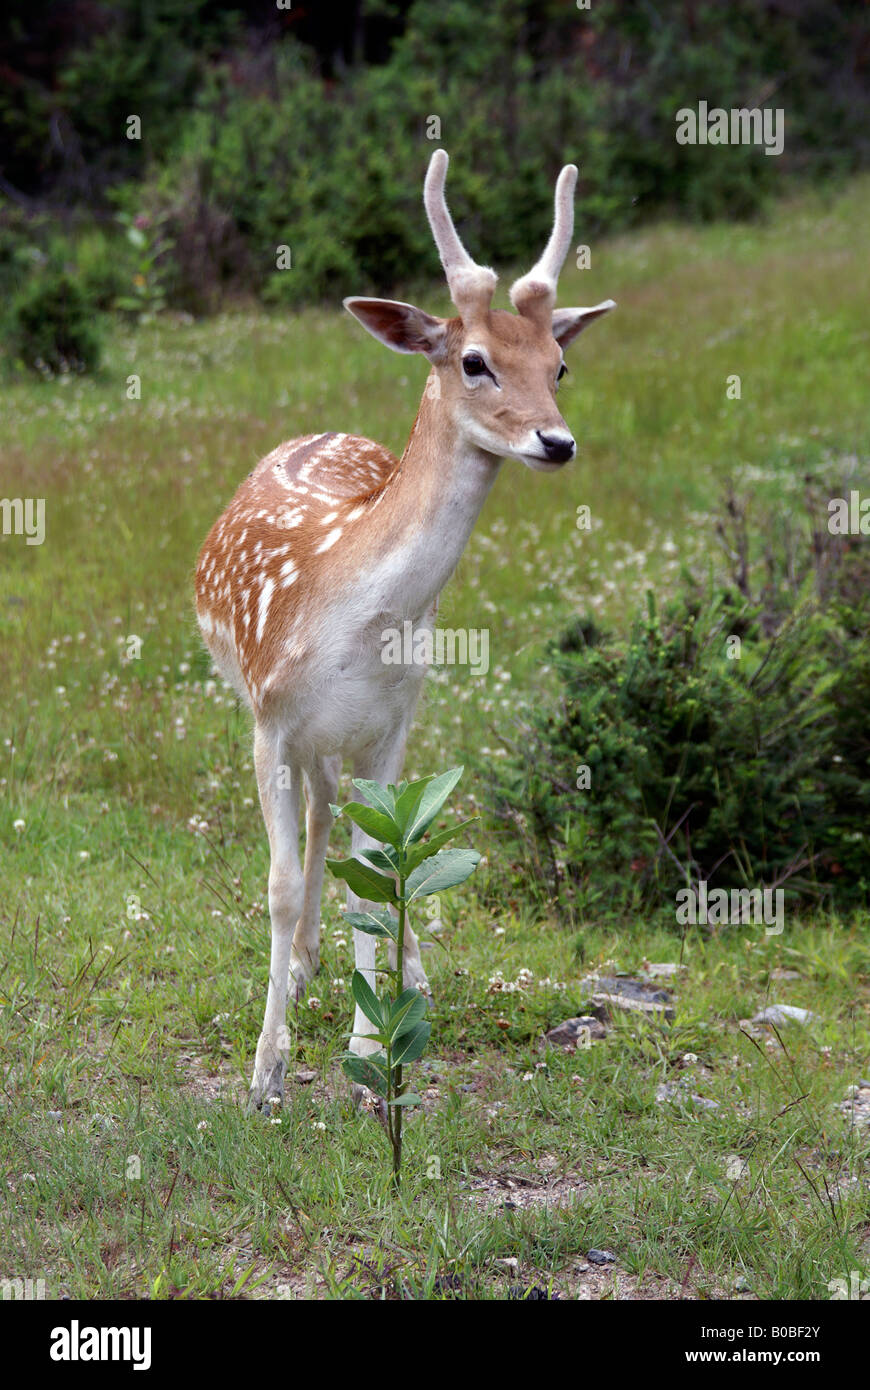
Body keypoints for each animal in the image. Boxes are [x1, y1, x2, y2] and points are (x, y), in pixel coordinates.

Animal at [194, 149, 615, 1112]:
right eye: (475, 360)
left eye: (559, 366)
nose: (557, 442)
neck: (355, 613)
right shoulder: (269, 721)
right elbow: (277, 886)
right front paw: (266, 1075)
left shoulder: (392, 724)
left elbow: (376, 872)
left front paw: (368, 1053)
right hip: (283, 720)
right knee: (315, 818)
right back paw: (306, 966)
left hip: (345, 739)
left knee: (337, 820)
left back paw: (396, 968)